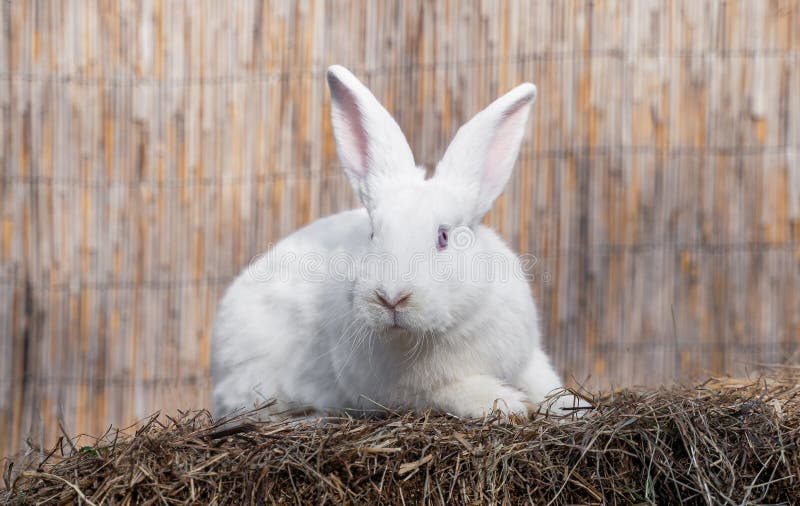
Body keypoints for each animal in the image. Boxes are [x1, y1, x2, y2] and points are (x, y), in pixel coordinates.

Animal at [211, 65, 576, 420]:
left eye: (443, 236)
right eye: (373, 233)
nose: (391, 298)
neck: (437, 333)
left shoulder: (526, 355)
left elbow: (545, 382)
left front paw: (567, 406)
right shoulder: (403, 394)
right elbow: (451, 392)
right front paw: (508, 403)